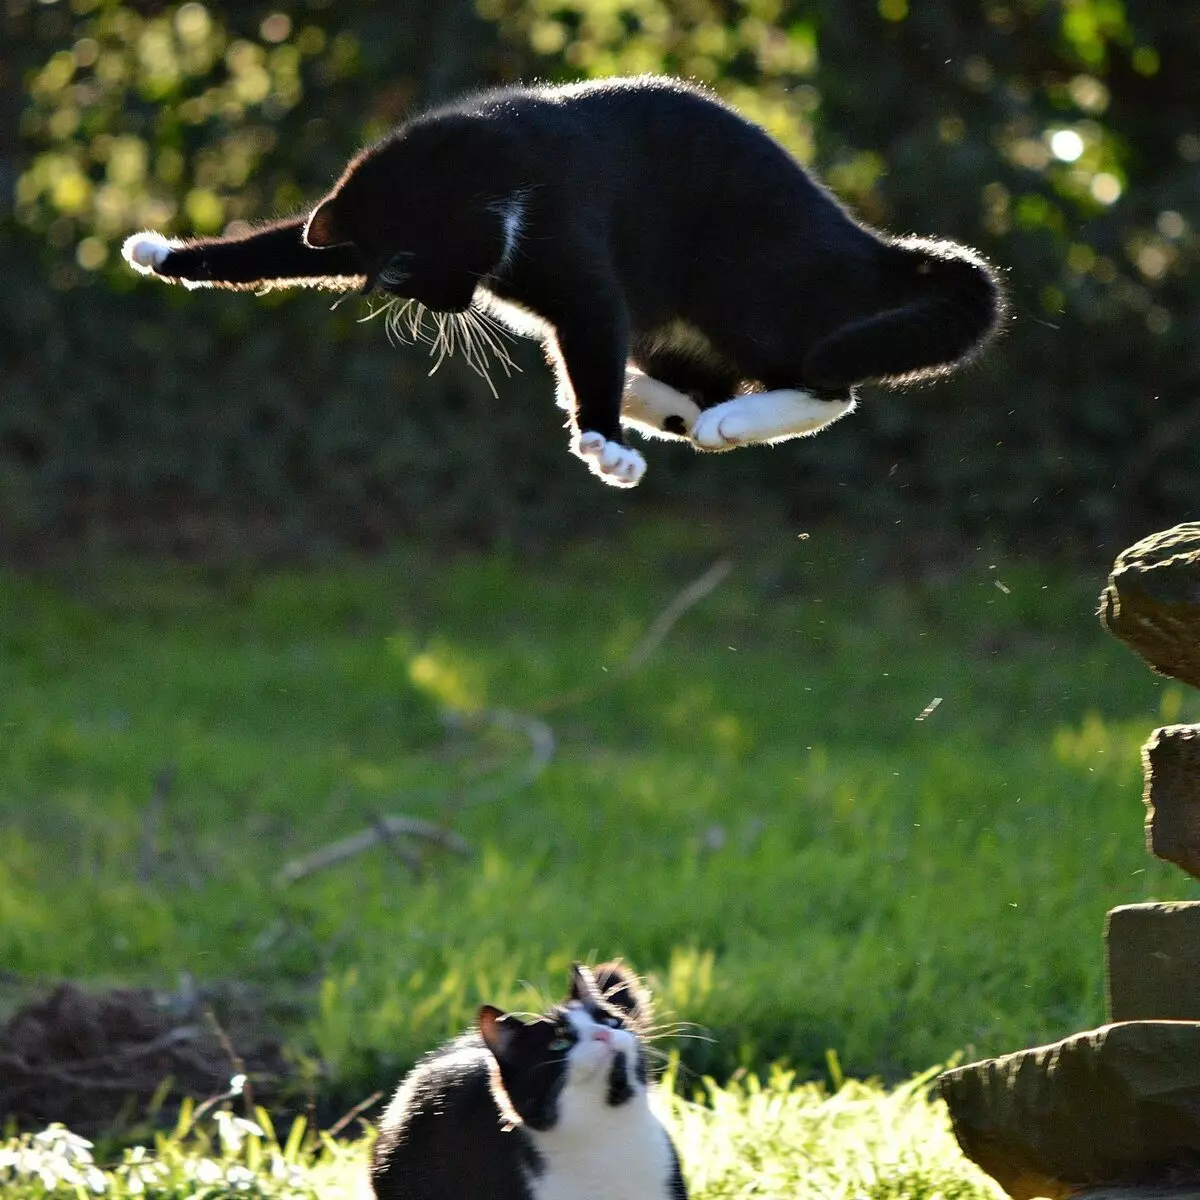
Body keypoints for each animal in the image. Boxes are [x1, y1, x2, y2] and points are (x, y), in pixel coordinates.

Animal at [124, 73, 1003, 487]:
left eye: (405, 272)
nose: (450, 301)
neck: (495, 173)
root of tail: (862, 240)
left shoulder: (582, 267)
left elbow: (591, 322)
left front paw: (605, 441)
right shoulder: (344, 240)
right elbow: (279, 248)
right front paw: (162, 253)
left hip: (745, 279)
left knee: (826, 385)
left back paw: (700, 420)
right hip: (683, 324)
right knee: (690, 384)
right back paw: (661, 405)